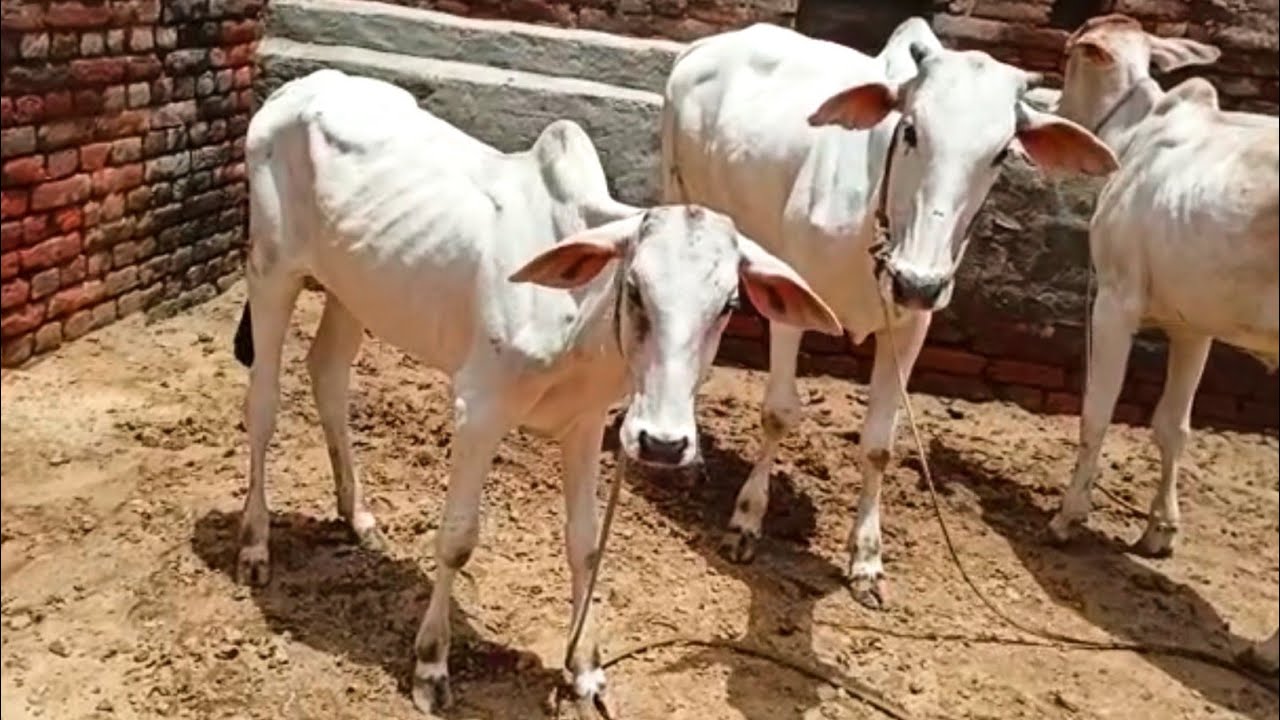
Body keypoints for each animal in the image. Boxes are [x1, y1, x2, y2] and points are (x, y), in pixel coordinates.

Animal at [233, 69, 842, 715]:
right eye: (635, 288)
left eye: (728, 305)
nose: (662, 443)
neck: (580, 311)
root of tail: (301, 87)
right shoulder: (478, 409)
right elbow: (457, 540)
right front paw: (431, 665)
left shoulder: (587, 424)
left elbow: (585, 544)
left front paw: (587, 669)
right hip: (271, 272)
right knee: (264, 404)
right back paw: (254, 545)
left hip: (354, 291)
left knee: (328, 374)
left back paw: (357, 515)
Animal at [661, 18, 1118, 608]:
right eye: (911, 130)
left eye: (1000, 154)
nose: (917, 280)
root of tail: (703, 46)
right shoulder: (793, 307)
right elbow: (779, 412)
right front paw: (745, 521)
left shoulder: (912, 325)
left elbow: (879, 443)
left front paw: (866, 559)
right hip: (678, 191)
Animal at [1042, 14, 1279, 674]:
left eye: (1069, 56)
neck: (1138, 138)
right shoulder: (1194, 324)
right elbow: (1172, 426)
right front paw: (1159, 533)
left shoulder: (1115, 300)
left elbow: (1096, 413)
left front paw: (1068, 517)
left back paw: (1265, 652)